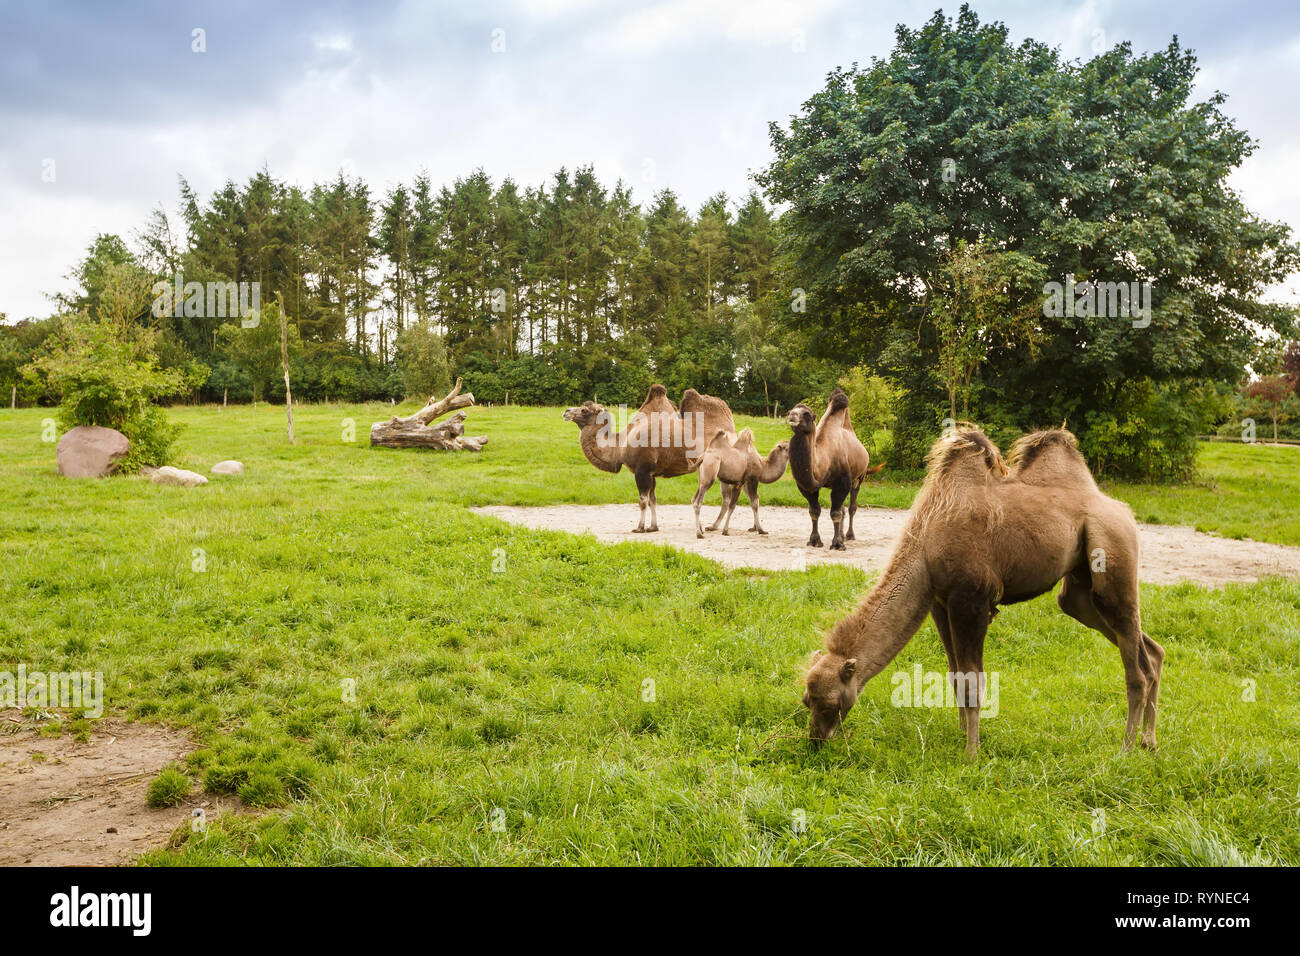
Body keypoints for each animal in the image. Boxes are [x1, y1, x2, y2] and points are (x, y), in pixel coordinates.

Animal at [563, 384, 735, 533]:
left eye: (584, 410)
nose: (566, 412)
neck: (621, 446)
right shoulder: (651, 473)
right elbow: (653, 499)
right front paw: (653, 527)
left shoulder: (642, 470)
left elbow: (642, 500)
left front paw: (639, 528)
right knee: (726, 499)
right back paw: (713, 526)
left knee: (726, 497)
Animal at [786, 388, 882, 550]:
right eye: (791, 409)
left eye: (807, 414)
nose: (792, 415)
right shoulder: (807, 487)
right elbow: (814, 511)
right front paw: (814, 541)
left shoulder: (843, 480)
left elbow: (835, 513)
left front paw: (837, 544)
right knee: (843, 508)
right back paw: (843, 535)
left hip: (859, 477)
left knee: (851, 507)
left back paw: (849, 535)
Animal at [802, 427, 1164, 757]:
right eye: (807, 700)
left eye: (830, 702)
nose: (816, 740)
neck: (925, 545)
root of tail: (1124, 511)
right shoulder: (939, 602)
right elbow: (954, 675)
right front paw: (963, 734)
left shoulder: (971, 599)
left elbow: (972, 680)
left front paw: (972, 754)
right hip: (1078, 590)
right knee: (1148, 650)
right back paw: (1149, 740)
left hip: (1112, 552)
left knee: (1135, 668)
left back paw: (1125, 749)